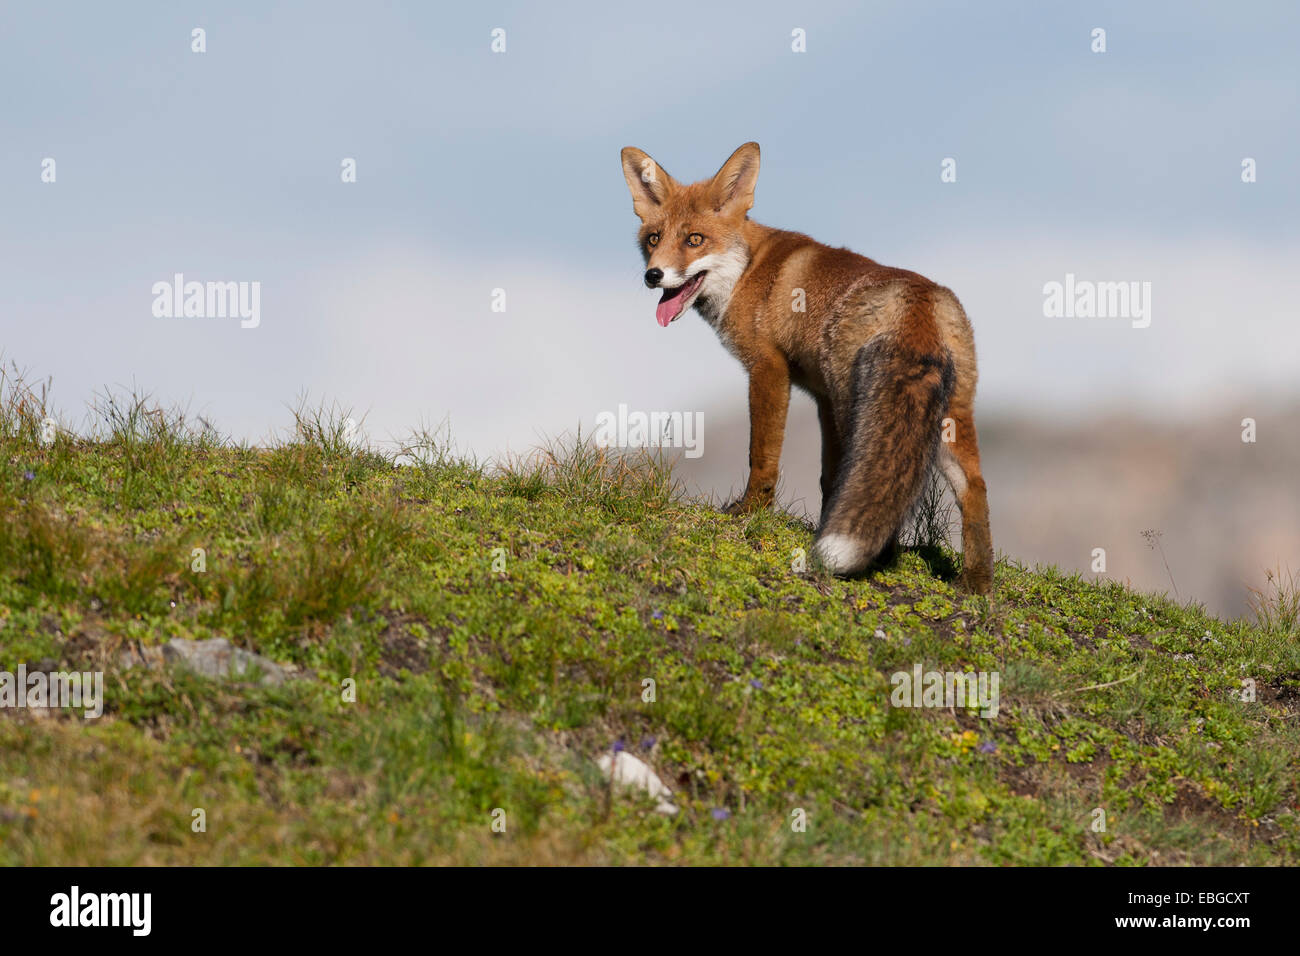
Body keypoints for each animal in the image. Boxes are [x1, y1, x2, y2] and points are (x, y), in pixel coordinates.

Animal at [619, 141, 994, 593]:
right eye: (653, 239)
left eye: (695, 240)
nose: (653, 275)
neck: (748, 270)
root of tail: (919, 299)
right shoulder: (820, 395)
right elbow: (830, 478)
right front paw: (821, 523)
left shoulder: (767, 368)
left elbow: (762, 455)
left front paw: (751, 511)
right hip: (947, 416)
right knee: (974, 488)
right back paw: (976, 585)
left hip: (862, 406)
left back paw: (883, 556)